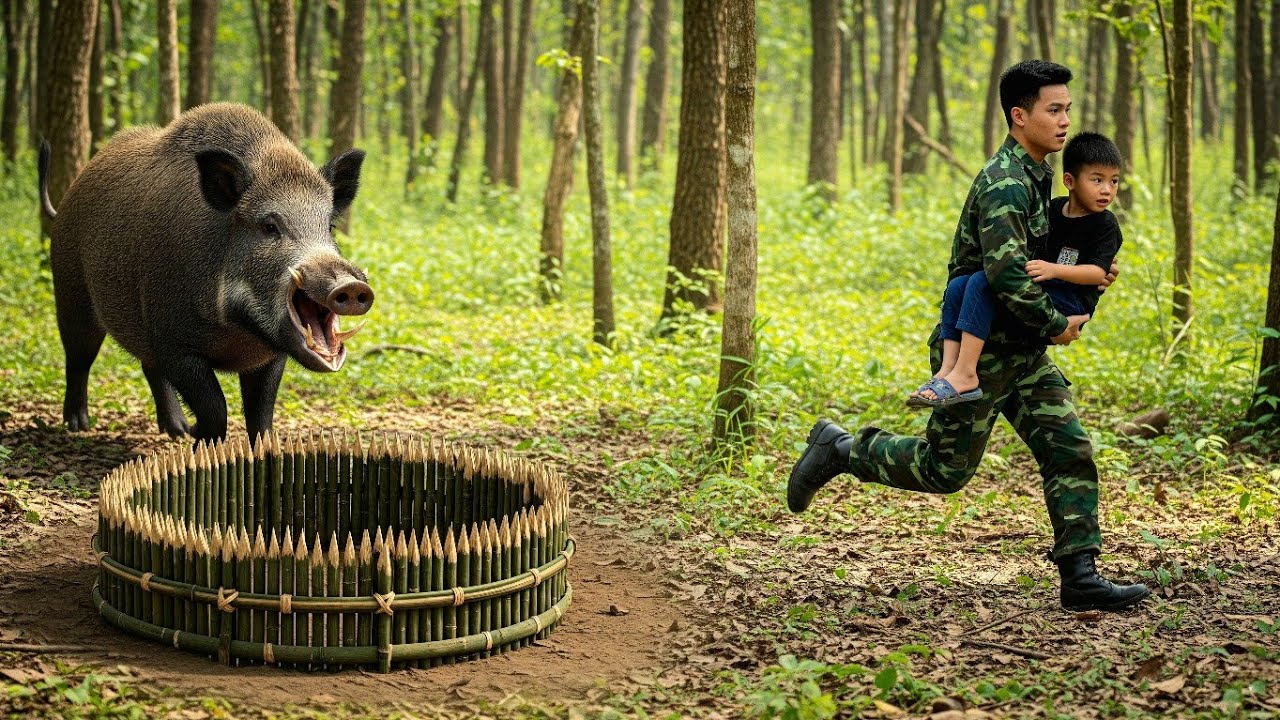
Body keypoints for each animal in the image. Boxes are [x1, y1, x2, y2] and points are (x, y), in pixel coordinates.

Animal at [38, 102, 374, 442]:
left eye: (329, 226)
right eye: (269, 226)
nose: (351, 286)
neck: (237, 333)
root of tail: (66, 200)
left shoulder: (270, 356)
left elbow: (261, 416)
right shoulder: (173, 342)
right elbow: (215, 407)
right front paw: (200, 437)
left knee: (149, 368)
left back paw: (177, 430)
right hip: (70, 293)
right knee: (78, 359)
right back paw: (78, 426)